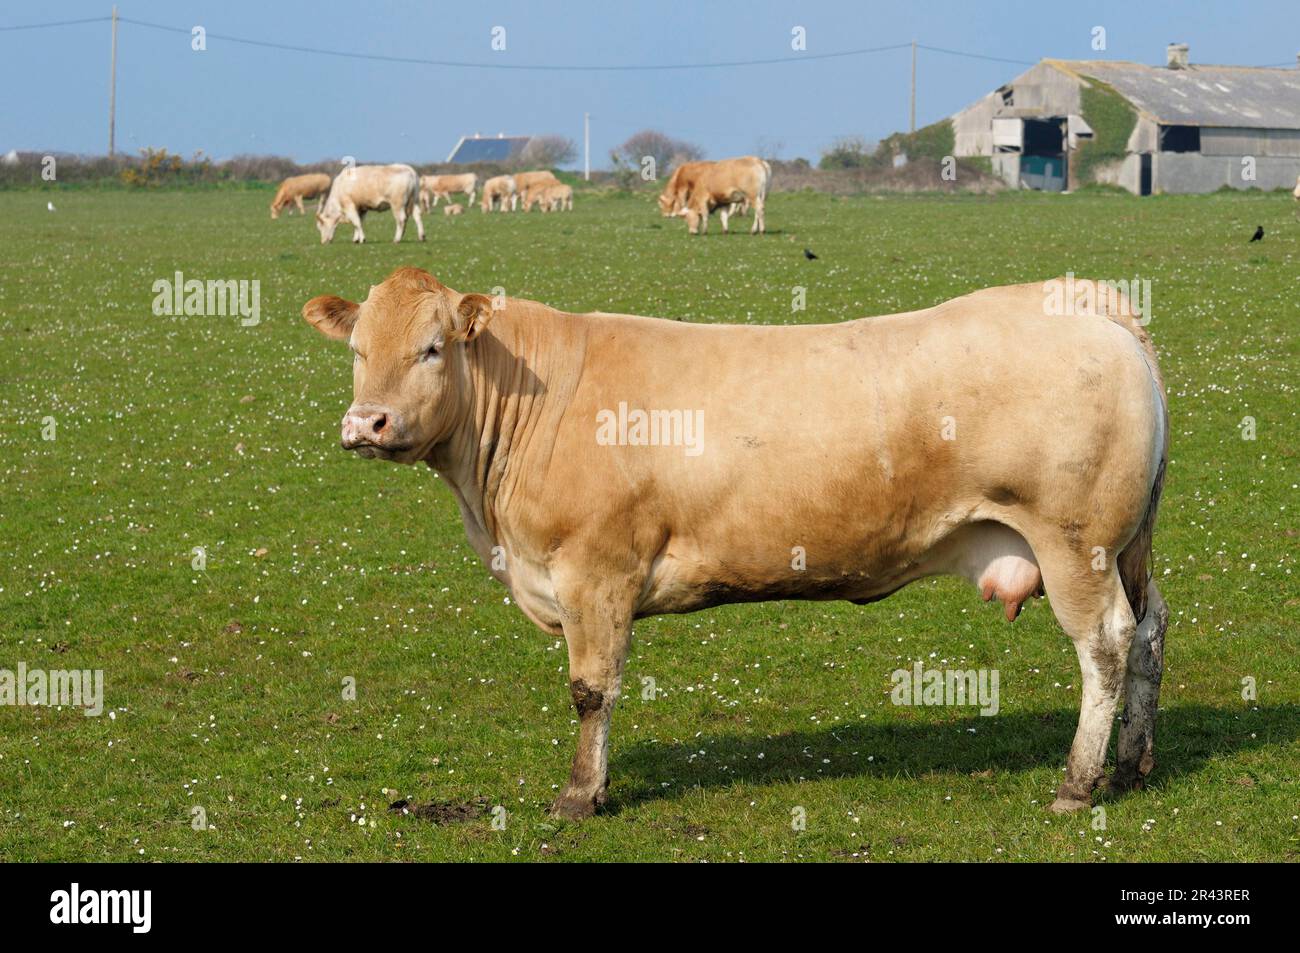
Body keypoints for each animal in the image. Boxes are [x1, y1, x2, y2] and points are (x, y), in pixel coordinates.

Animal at [303, 267, 1169, 821]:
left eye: (433, 348)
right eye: (357, 352)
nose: (366, 423)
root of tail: (1081, 301)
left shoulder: (594, 572)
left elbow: (592, 690)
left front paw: (581, 794)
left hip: (1074, 543)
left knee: (1105, 645)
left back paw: (1078, 782)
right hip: (1127, 547)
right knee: (1151, 630)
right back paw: (1132, 764)